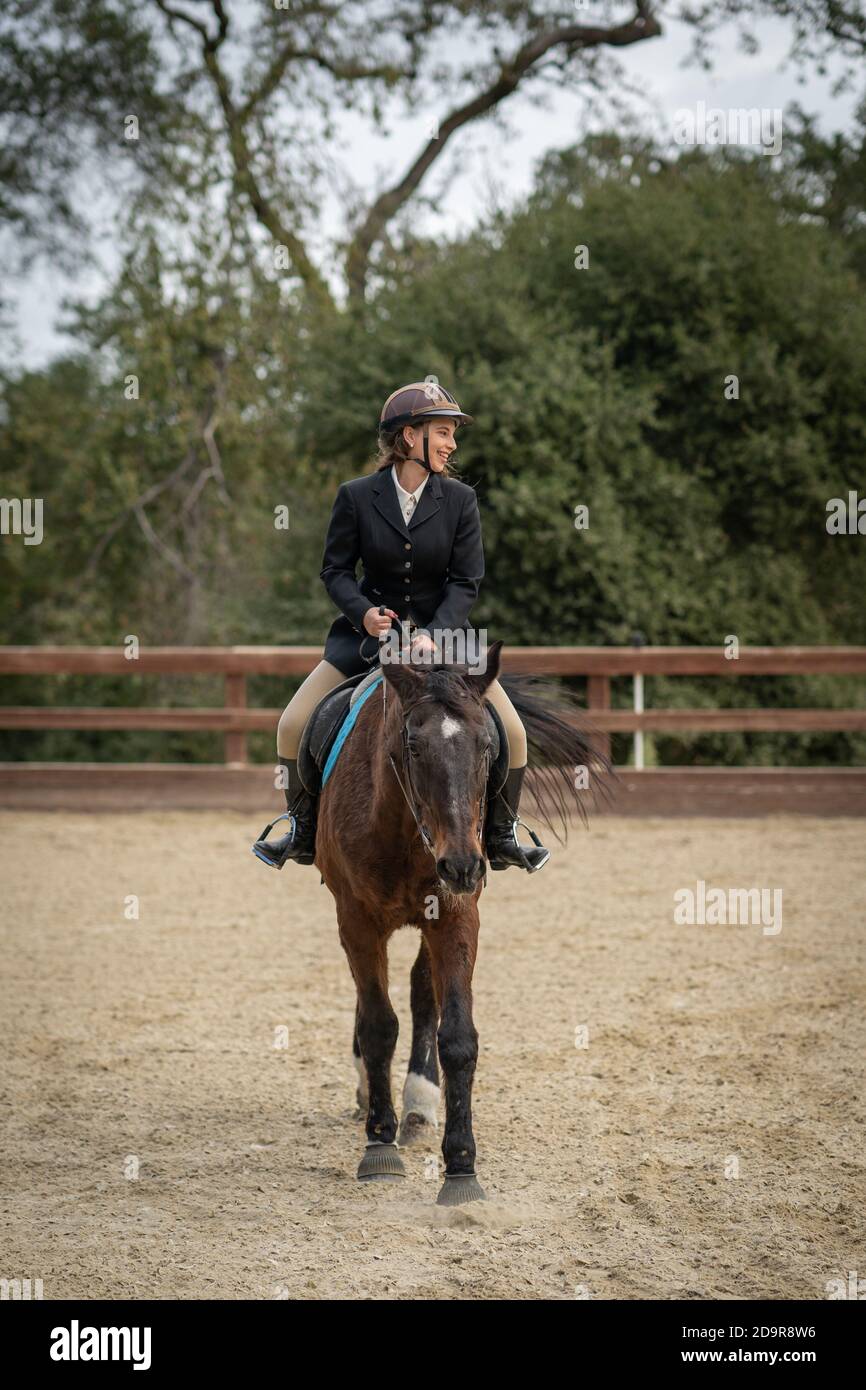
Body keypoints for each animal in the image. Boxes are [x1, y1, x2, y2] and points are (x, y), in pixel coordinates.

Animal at [315, 639, 601, 1206]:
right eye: (413, 746)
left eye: (487, 747)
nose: (464, 865)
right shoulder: (356, 918)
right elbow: (378, 1025)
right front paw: (378, 1145)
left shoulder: (454, 917)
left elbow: (458, 1037)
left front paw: (462, 1168)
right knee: (372, 997)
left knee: (419, 992)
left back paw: (420, 1102)